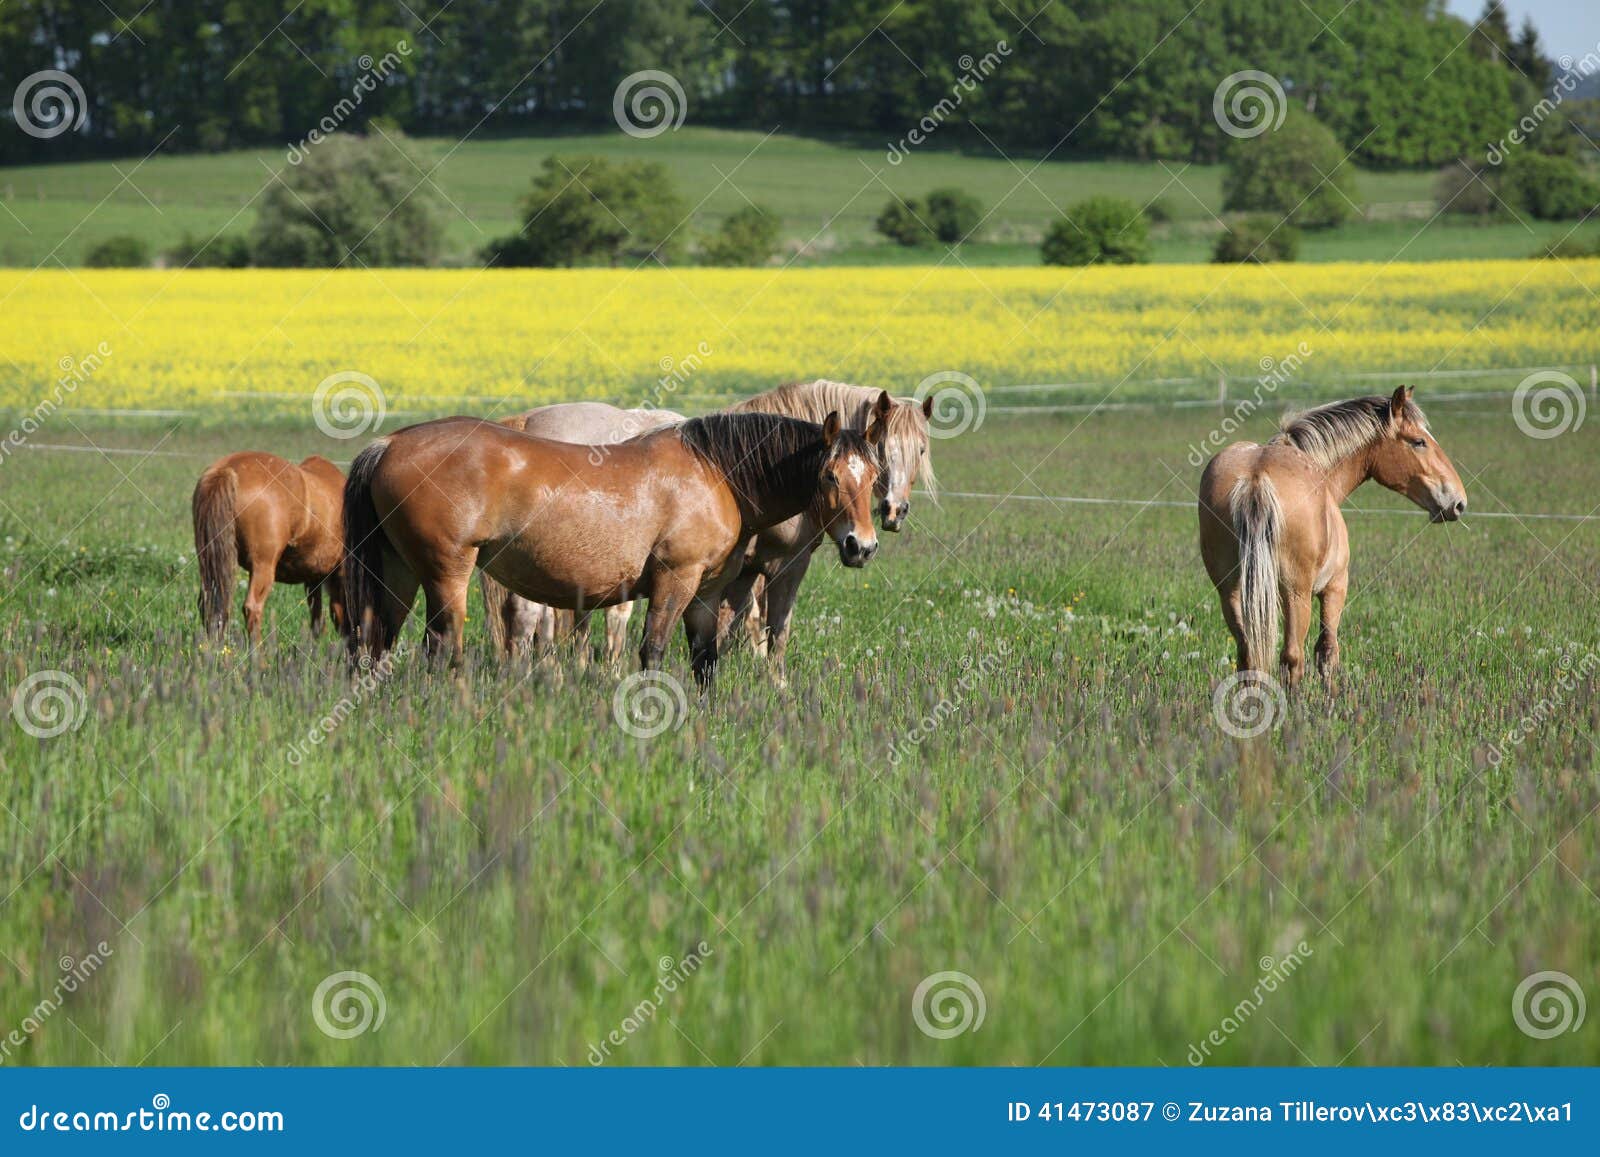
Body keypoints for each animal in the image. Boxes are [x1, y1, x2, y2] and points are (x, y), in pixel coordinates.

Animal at [191, 452, 346, 645]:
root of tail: (226, 469)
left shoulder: (313, 578)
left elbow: (318, 618)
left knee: (209, 605)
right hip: (263, 566)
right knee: (252, 608)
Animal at [1198, 387, 1467, 684]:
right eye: (1419, 442)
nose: (1458, 502)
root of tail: (1255, 479)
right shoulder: (1335, 588)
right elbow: (1327, 653)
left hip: (1232, 594)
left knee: (1249, 657)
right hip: (1296, 595)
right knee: (1293, 658)